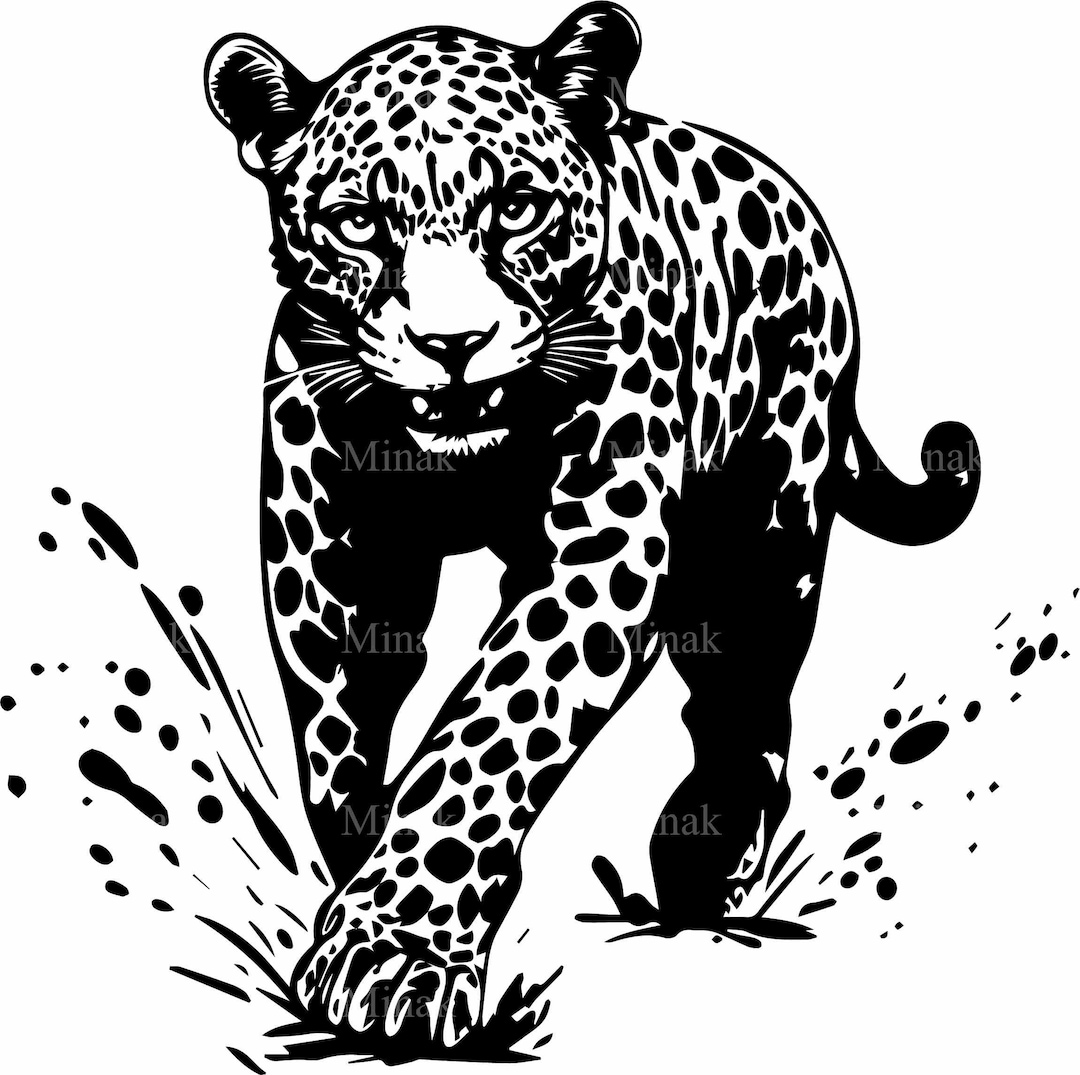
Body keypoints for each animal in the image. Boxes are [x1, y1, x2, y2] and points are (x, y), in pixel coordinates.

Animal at [205, 3, 980, 1056]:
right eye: (358, 222)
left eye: (518, 209)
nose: (453, 346)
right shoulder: (328, 552)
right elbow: (342, 735)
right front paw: (378, 872)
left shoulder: (598, 545)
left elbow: (492, 727)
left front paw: (398, 951)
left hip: (766, 519)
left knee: (743, 693)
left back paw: (707, 858)